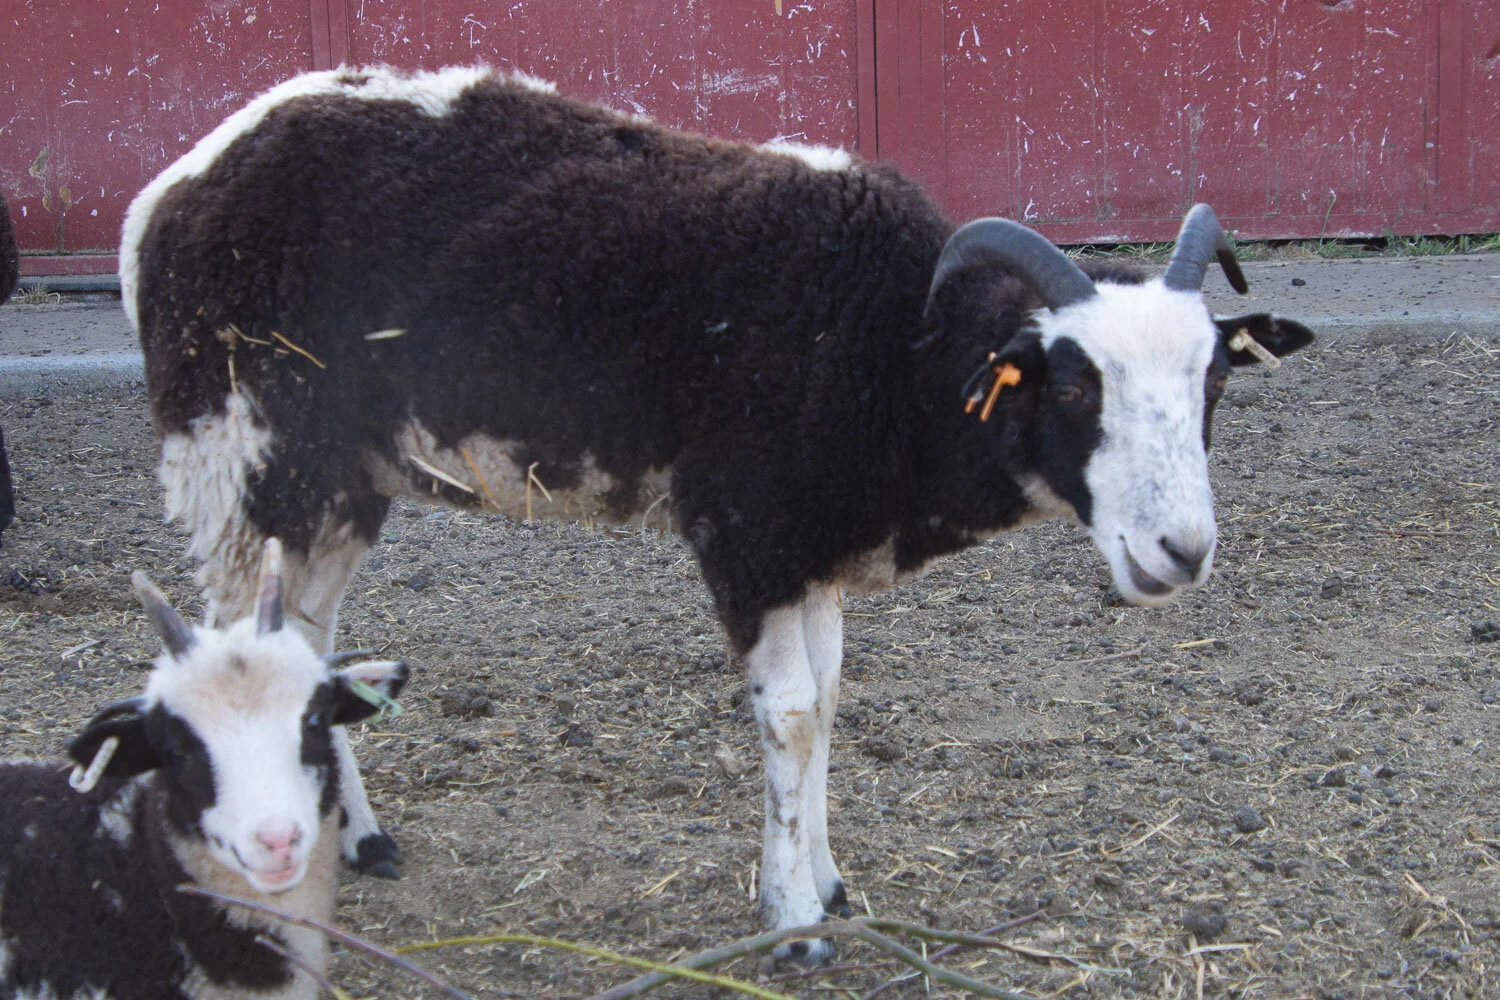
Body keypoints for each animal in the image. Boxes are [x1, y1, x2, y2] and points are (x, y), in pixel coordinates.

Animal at [121, 65, 1313, 962]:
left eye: (1214, 381)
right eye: (1070, 388)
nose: (1182, 551)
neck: (889, 339)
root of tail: (172, 186)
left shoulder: (815, 536)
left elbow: (828, 699)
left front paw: (826, 882)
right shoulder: (751, 531)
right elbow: (788, 715)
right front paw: (794, 926)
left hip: (342, 476)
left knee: (304, 635)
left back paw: (358, 839)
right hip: (246, 449)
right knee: (246, 641)